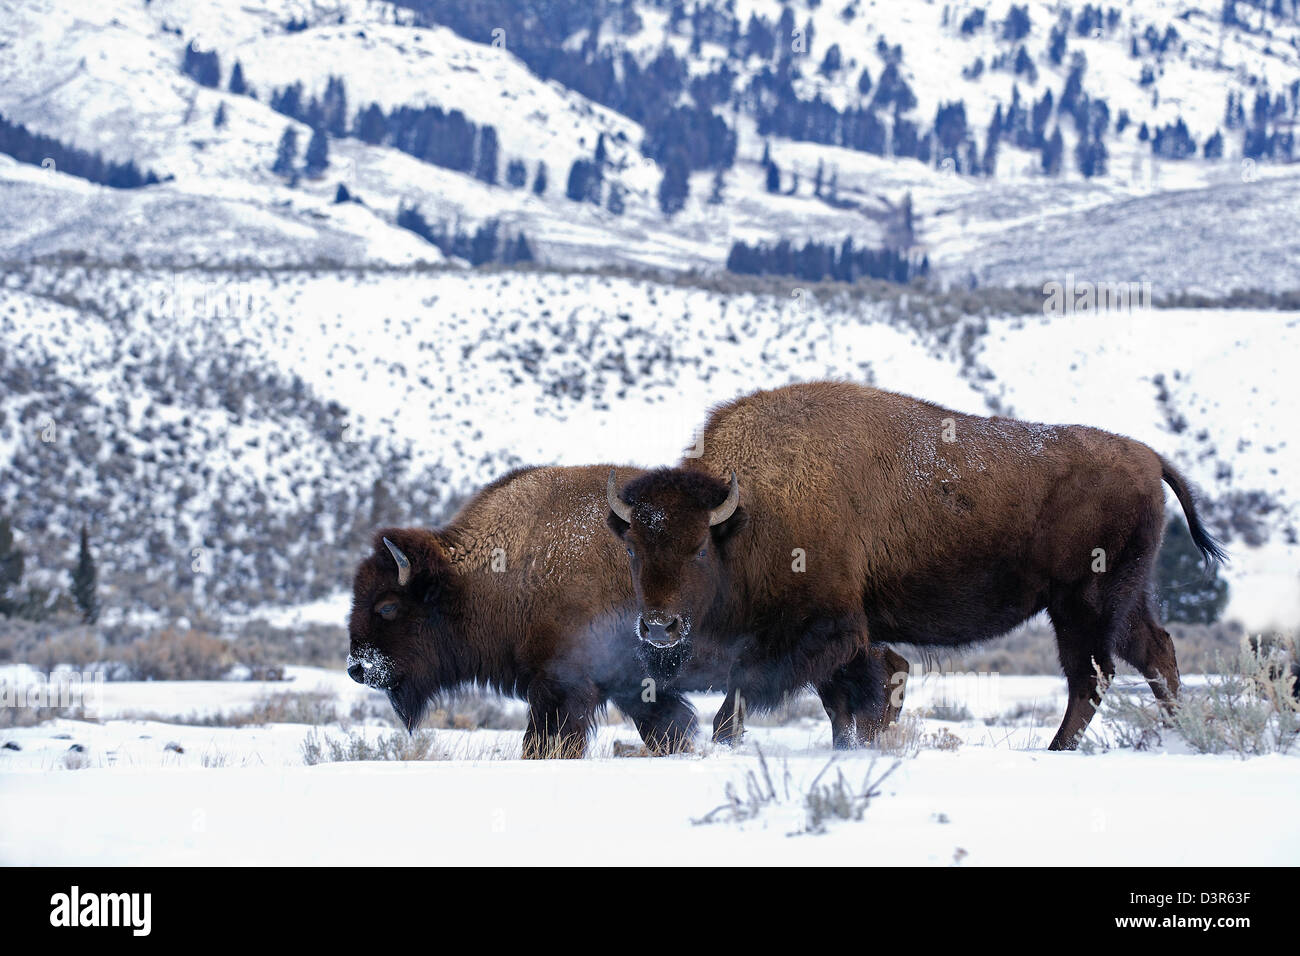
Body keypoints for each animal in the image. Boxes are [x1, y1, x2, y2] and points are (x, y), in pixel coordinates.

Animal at [347, 462, 908, 757]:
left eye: (389, 606)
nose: (358, 667)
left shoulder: (563, 688)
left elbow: (546, 739)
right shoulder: (625, 688)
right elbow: (665, 727)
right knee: (869, 680)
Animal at [606, 381, 1224, 751]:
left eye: (697, 548)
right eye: (633, 546)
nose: (658, 627)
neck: (750, 512)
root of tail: (1150, 458)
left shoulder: (820, 629)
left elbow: (755, 695)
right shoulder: (845, 637)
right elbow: (851, 696)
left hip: (1082, 602)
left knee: (1091, 676)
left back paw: (1061, 751)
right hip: (1124, 596)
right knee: (1154, 652)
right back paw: (1173, 735)